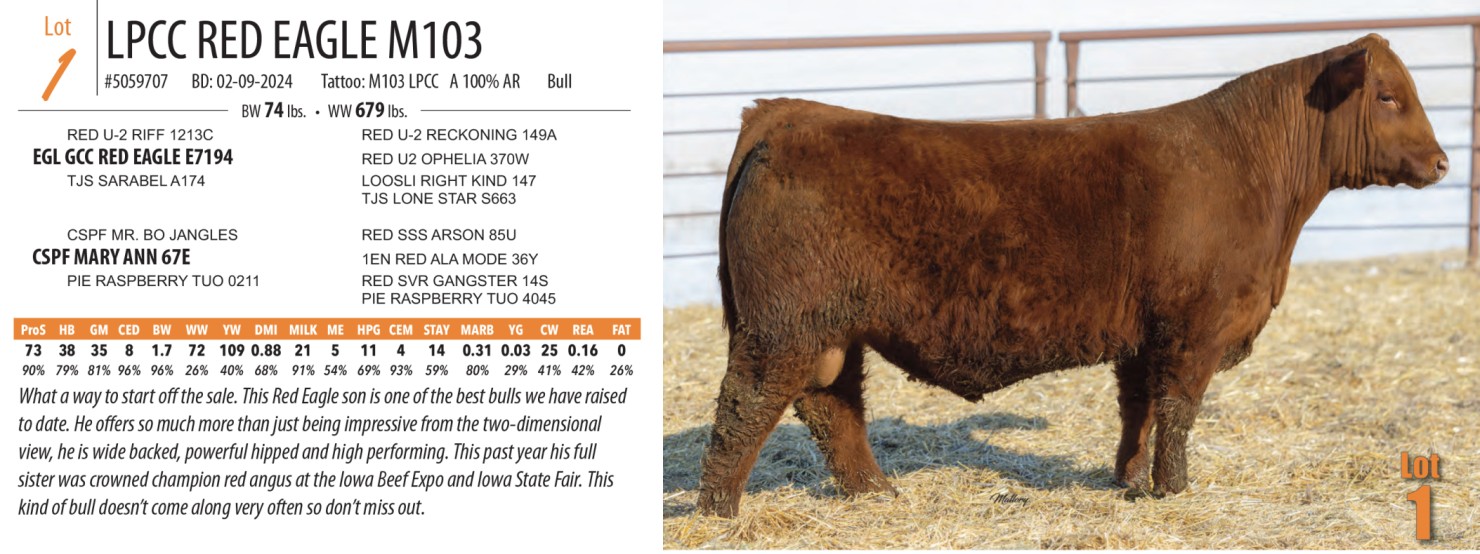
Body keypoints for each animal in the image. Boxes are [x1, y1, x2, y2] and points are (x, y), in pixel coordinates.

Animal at [697, 34, 1447, 517]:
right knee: (745, 406)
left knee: (831, 405)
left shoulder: (1147, 334)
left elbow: (1139, 409)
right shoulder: (1194, 327)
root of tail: (787, 114)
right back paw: (719, 514)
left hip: (829, 330)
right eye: (1387, 97)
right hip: (781, 327)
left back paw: (875, 494)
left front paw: (1131, 481)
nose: (1441, 161)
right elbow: (1179, 408)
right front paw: (1175, 489)